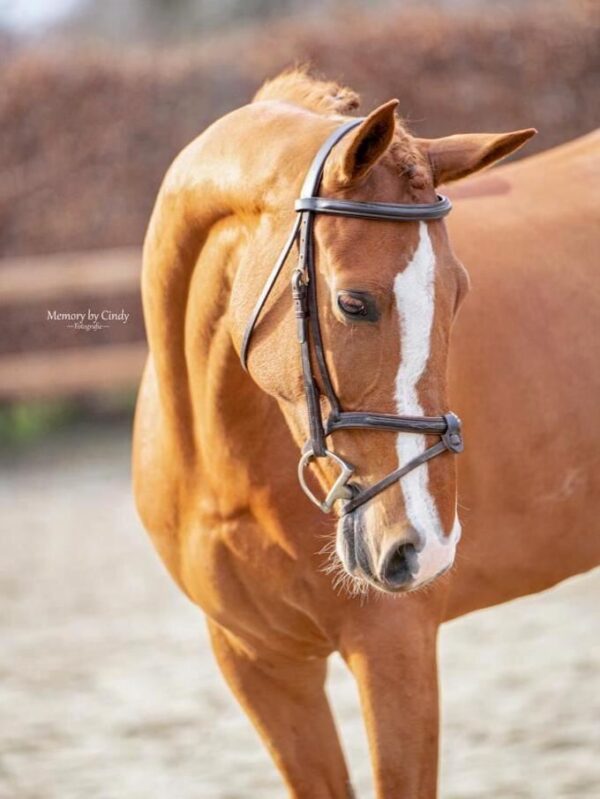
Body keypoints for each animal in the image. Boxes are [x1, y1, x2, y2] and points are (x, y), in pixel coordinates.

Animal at [132, 70, 600, 798]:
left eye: (459, 294)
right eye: (353, 303)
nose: (425, 550)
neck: (219, 461)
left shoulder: (393, 647)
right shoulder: (259, 663)